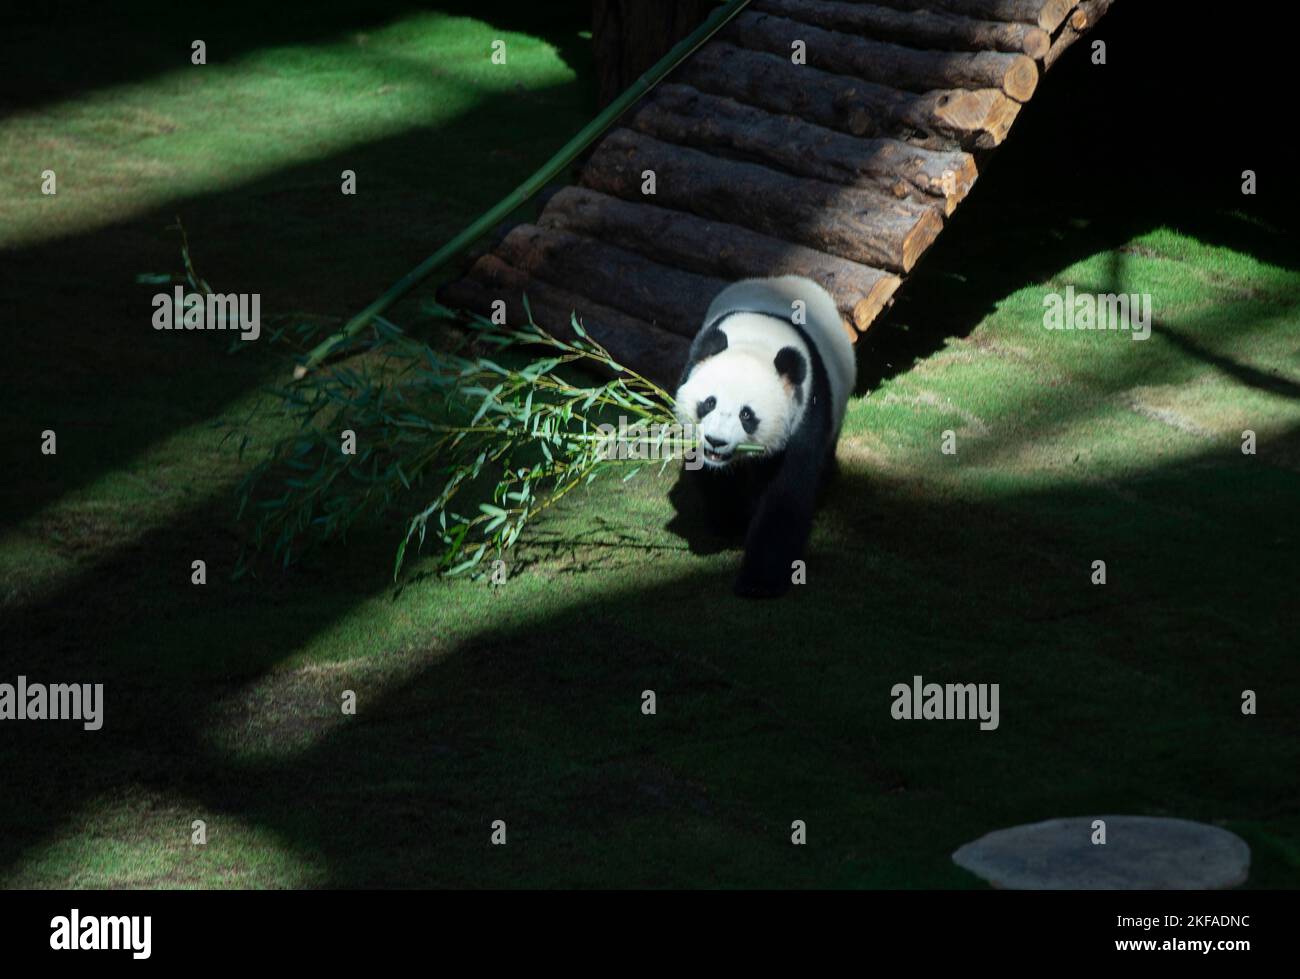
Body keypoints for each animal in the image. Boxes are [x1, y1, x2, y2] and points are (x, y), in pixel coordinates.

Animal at [674, 275, 856, 599]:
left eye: (747, 415)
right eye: (709, 402)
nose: (716, 441)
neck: (756, 341)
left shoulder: (805, 410)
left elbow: (786, 494)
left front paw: (759, 581)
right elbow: (713, 478)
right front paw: (729, 524)